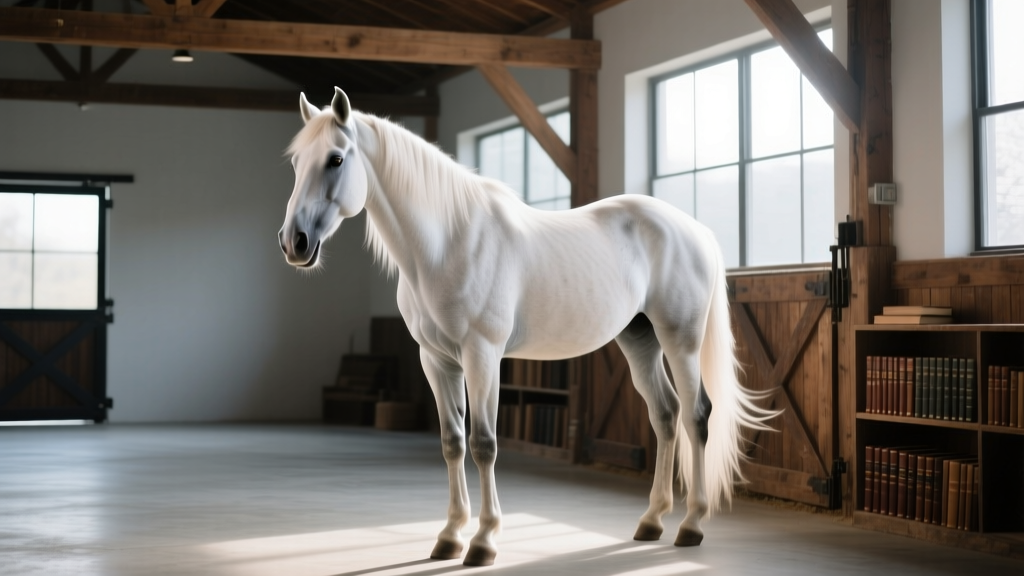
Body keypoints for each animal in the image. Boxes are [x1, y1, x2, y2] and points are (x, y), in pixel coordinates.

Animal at [278, 87, 775, 567]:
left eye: (336, 158)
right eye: (296, 163)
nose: (293, 242)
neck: (448, 244)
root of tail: (695, 229)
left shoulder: (481, 356)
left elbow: (483, 443)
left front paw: (483, 542)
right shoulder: (436, 361)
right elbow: (452, 442)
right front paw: (449, 537)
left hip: (680, 340)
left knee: (696, 415)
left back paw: (691, 525)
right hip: (639, 340)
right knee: (665, 415)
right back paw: (651, 521)